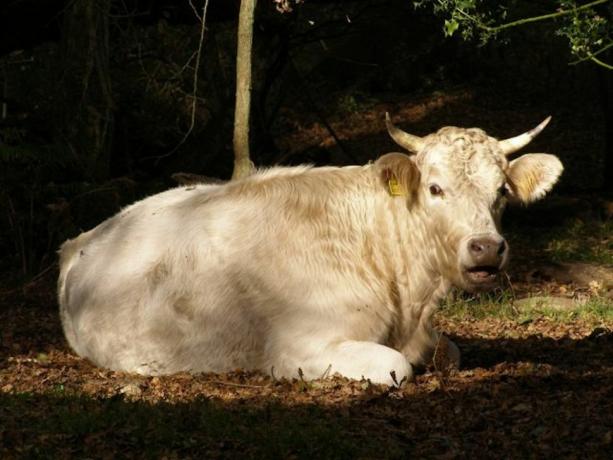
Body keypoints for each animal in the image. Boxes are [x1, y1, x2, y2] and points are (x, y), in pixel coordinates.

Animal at [57, 115, 560, 384]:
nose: (486, 248)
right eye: (435, 188)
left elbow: (450, 352)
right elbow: (398, 366)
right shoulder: (299, 350)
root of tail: (78, 241)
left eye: (501, 192)